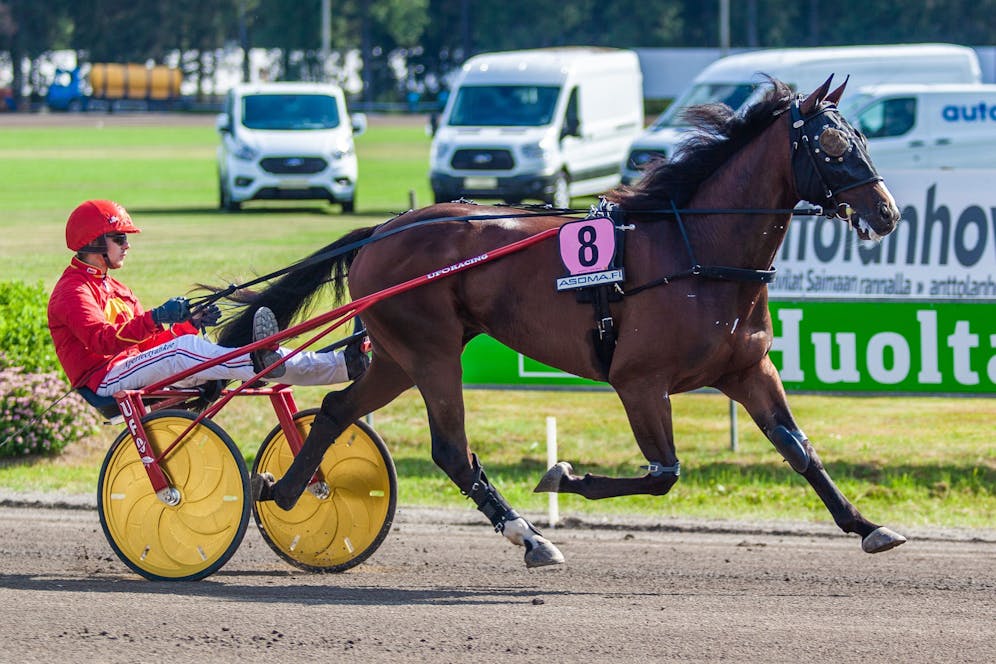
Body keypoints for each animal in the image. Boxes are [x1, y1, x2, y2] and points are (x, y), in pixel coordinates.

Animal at [216, 76, 906, 568]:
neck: (697, 250)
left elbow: (799, 449)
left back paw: (284, 491)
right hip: (430, 351)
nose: (888, 213)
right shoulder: (638, 380)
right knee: (451, 449)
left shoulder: (748, 369)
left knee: (337, 409)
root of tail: (384, 229)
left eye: (863, 138)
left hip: (396, 354)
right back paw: (528, 536)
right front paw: (564, 474)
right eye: (833, 145)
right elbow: (663, 474)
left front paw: (868, 526)